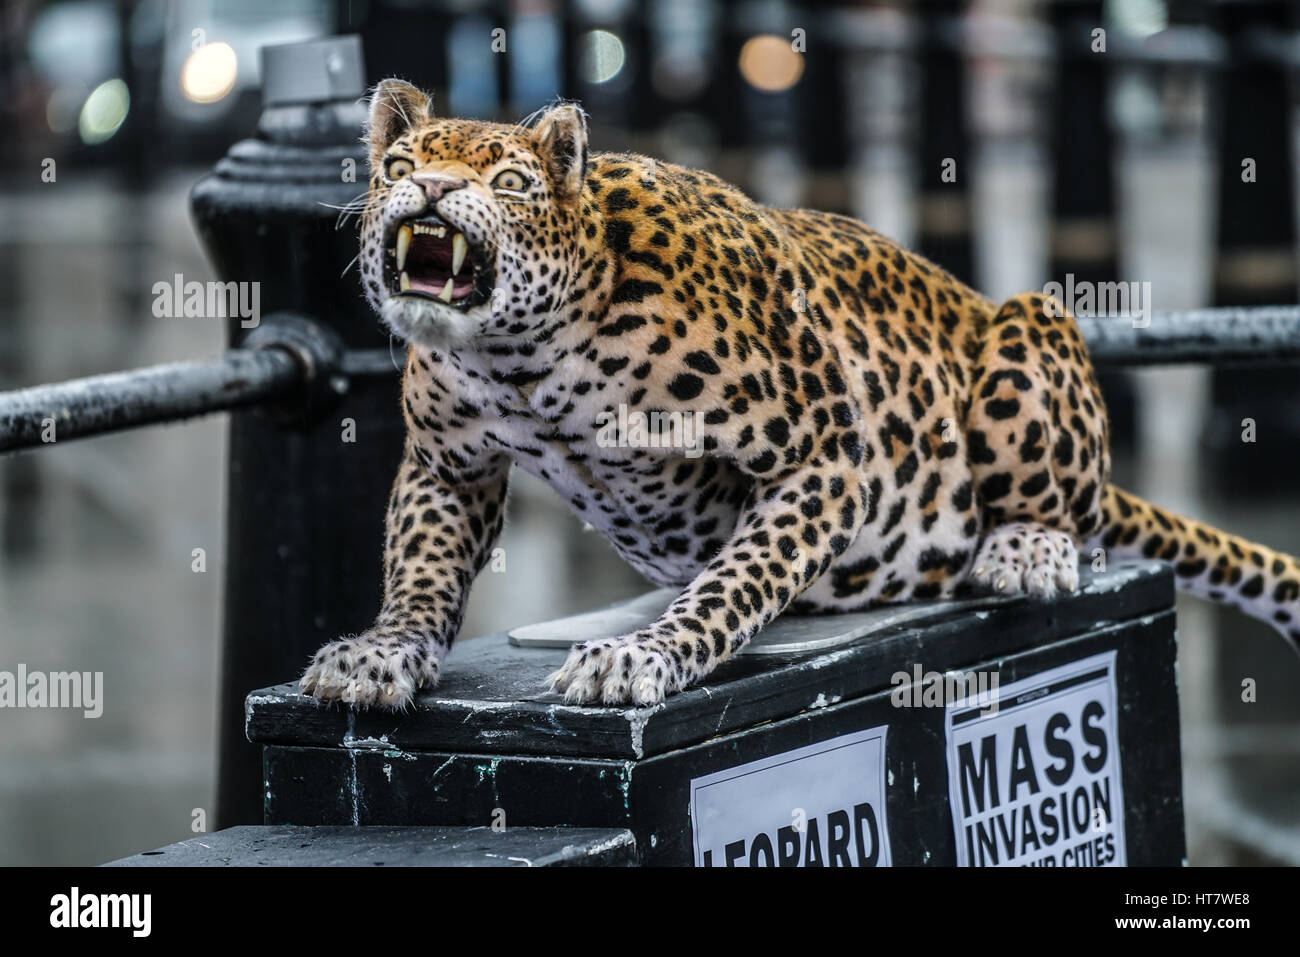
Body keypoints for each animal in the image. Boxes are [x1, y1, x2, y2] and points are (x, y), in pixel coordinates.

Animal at [300, 79, 1300, 709]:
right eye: (400, 167)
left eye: (507, 182)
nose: (431, 189)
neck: (526, 356)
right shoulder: (448, 464)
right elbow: (421, 571)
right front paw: (381, 654)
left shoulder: (820, 451)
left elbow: (737, 582)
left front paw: (643, 655)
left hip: (1027, 330)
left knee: (1064, 503)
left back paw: (1024, 547)